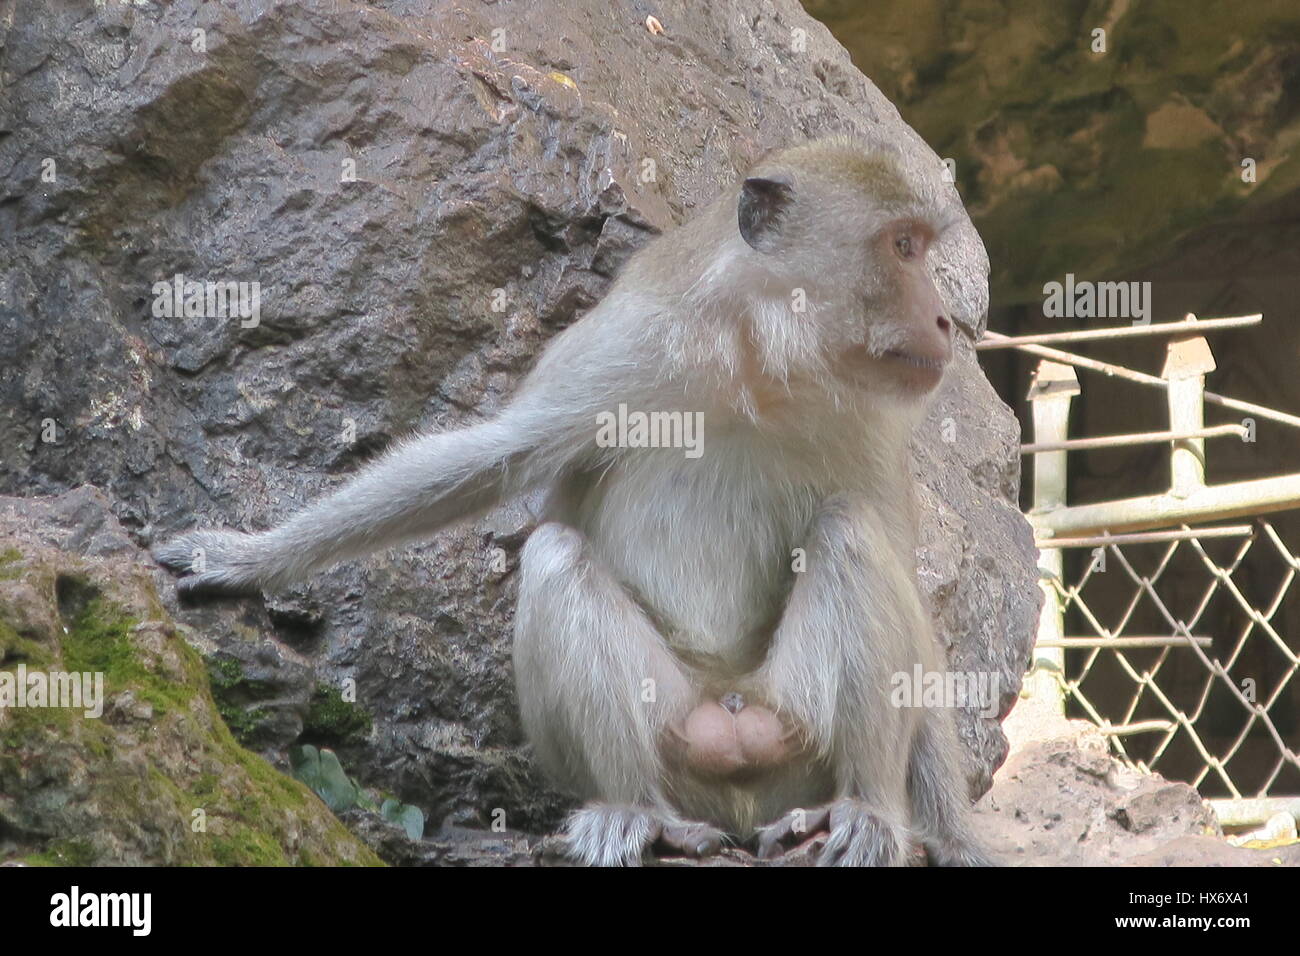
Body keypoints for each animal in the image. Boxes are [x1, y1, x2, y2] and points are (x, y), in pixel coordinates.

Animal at [155, 136, 995, 867]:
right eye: (903, 247)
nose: (944, 320)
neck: (759, 356)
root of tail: (733, 728)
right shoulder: (626, 345)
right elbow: (492, 456)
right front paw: (251, 557)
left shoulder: (877, 424)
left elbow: (910, 604)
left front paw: (951, 834)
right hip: (674, 743)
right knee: (558, 557)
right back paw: (639, 815)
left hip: (791, 742)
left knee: (851, 534)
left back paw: (865, 810)